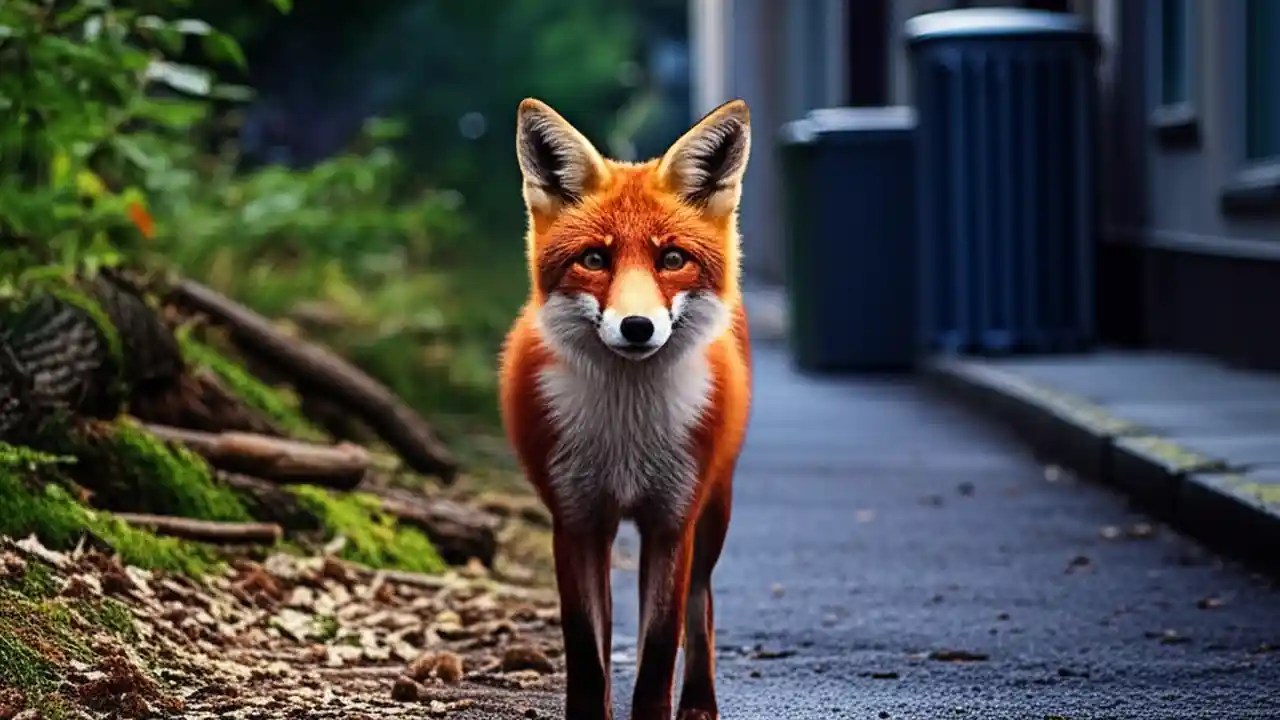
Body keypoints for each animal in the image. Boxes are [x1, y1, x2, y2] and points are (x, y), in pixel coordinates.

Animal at [498, 97, 753, 720]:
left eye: (672, 258)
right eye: (595, 258)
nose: (637, 327)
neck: (627, 433)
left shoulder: (673, 521)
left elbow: (659, 648)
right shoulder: (574, 520)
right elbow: (587, 651)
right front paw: (592, 711)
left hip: (714, 513)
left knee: (701, 607)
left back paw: (699, 703)